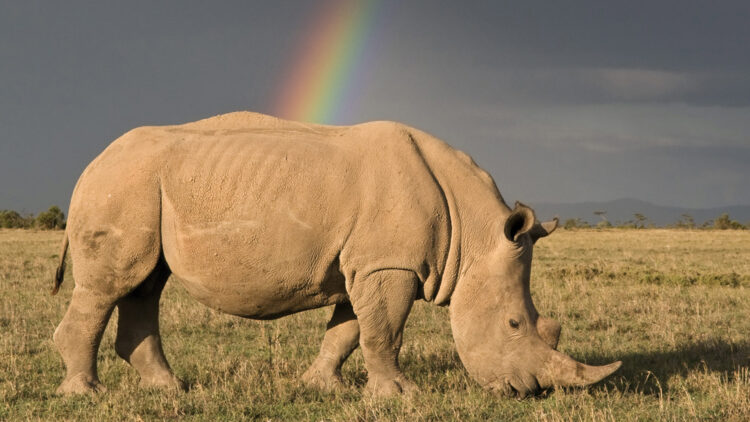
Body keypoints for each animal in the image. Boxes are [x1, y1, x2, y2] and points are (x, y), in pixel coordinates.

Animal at [52, 111, 620, 397]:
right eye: (513, 326)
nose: (530, 392)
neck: (474, 232)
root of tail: (89, 164)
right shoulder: (388, 264)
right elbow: (383, 332)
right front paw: (400, 396)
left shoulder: (368, 263)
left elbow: (349, 331)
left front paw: (319, 386)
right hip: (121, 185)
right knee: (110, 286)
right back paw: (87, 395)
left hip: (140, 188)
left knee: (145, 283)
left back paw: (171, 390)